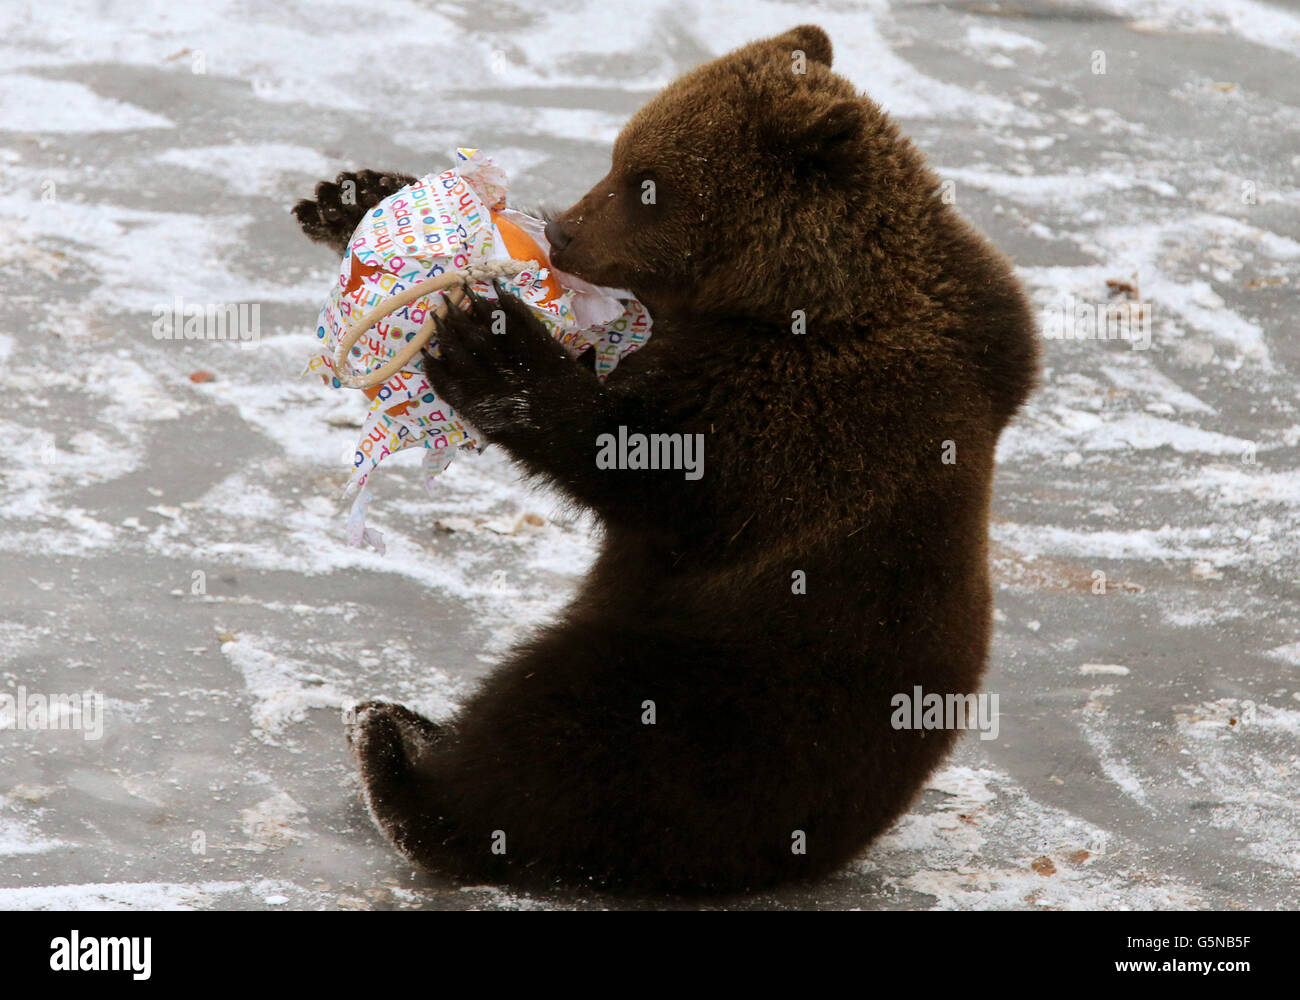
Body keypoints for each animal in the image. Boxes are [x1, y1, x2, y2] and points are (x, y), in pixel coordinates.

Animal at [292, 23, 1038, 895]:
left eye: (647, 181)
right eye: (620, 155)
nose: (565, 232)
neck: (798, 297)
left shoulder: (812, 414)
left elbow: (647, 462)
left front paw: (492, 344)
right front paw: (356, 196)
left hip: (729, 684)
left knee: (567, 739)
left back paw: (400, 763)